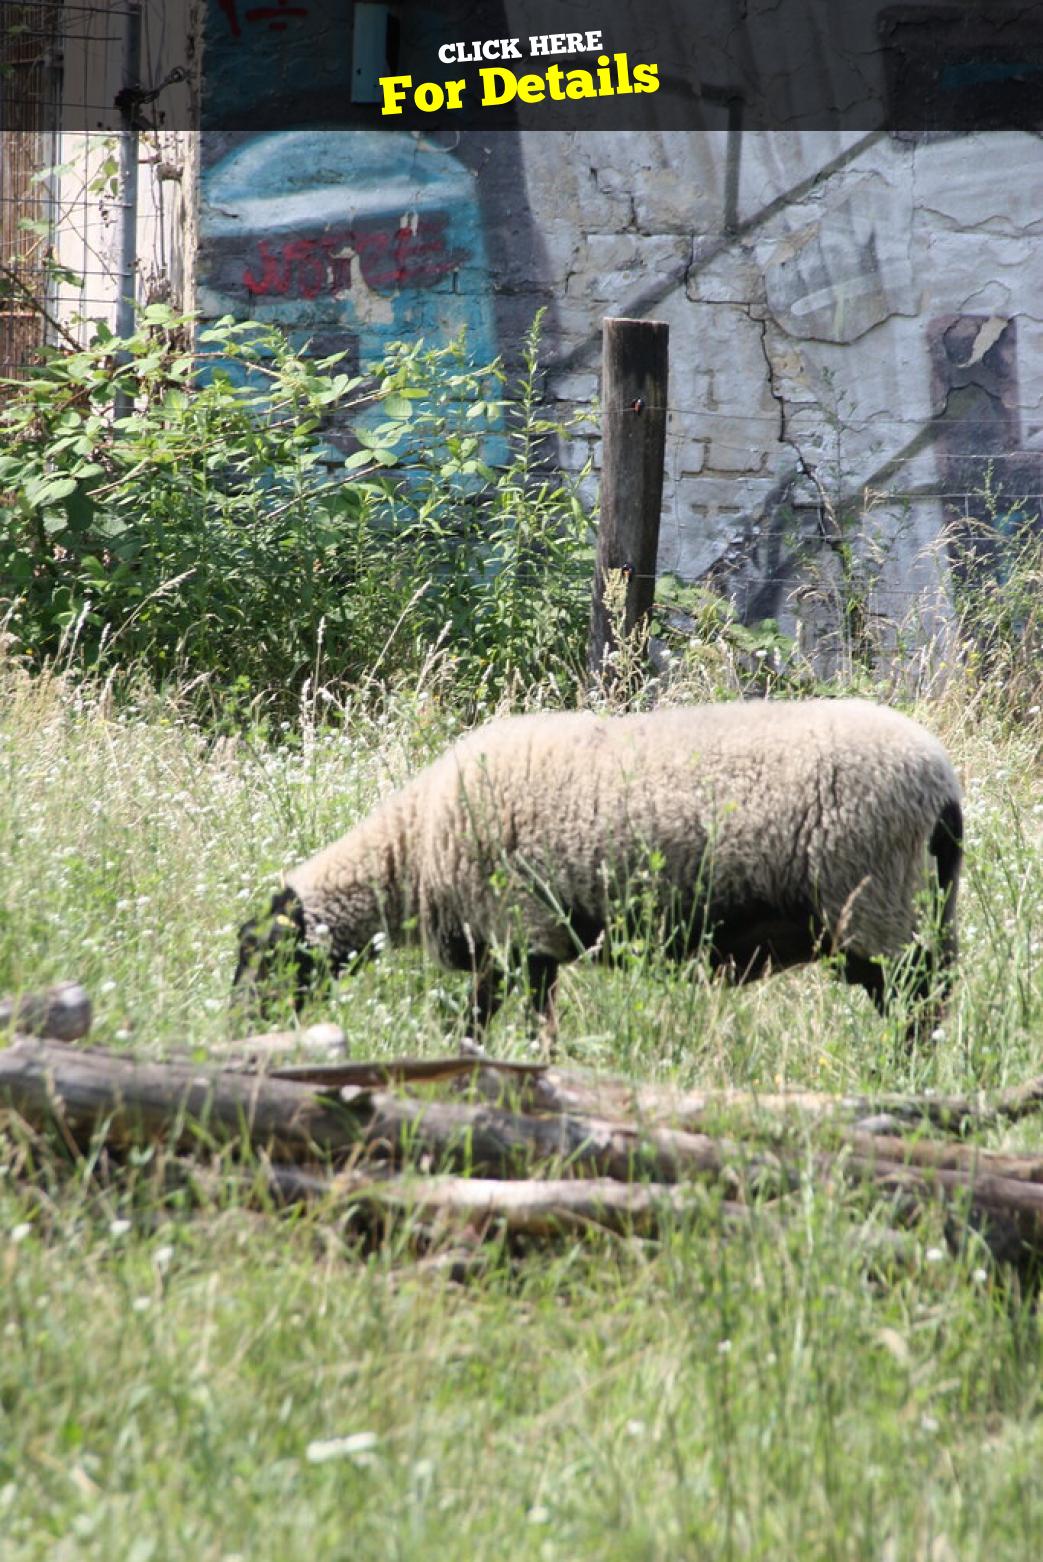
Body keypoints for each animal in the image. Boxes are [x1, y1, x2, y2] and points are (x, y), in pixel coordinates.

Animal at [234, 702, 961, 1043]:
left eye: (264, 952)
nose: (239, 1026)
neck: (409, 854)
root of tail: (941, 784)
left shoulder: (521, 931)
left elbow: (516, 1022)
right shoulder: (511, 945)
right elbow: (487, 1023)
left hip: (872, 900)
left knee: (916, 1002)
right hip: (920, 904)